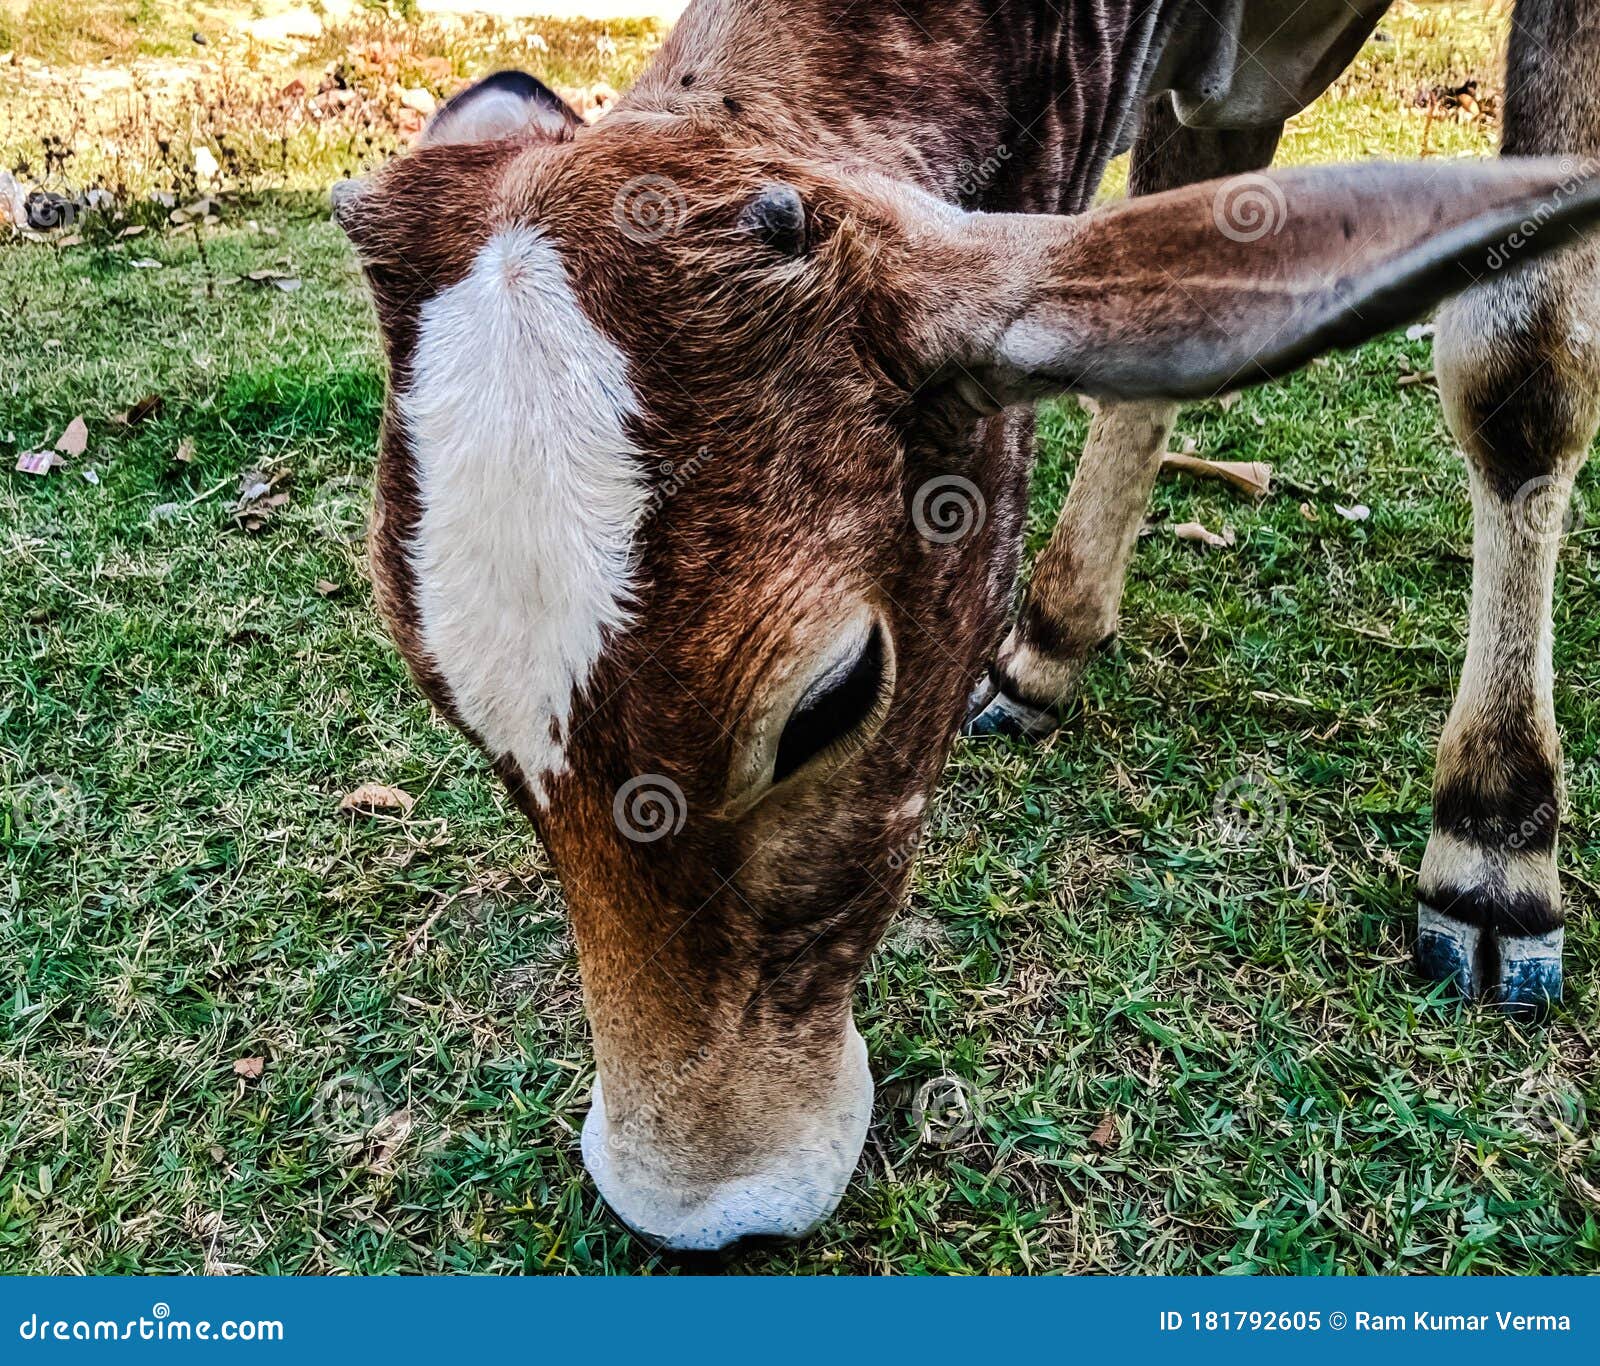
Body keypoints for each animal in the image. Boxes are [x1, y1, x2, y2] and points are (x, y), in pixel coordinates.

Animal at [333, 0, 1600, 1252]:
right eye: (450, 704)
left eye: (831, 700)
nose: (689, 1204)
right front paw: (1049, 640)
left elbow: (1521, 371)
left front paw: (1495, 837)